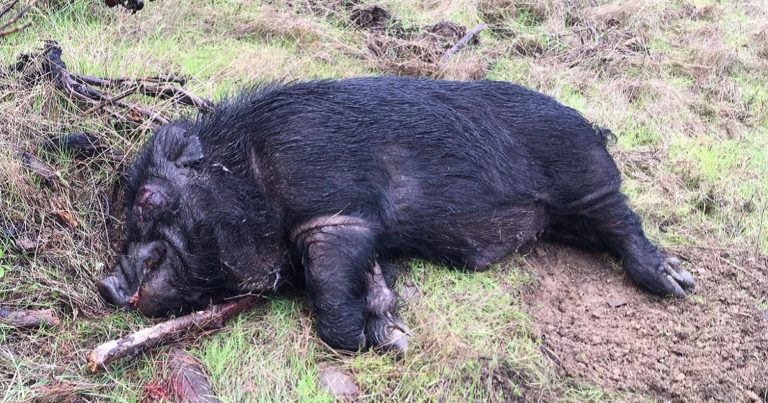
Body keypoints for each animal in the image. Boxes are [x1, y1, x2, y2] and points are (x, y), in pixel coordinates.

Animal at [97, 77, 695, 354]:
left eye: (148, 201)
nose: (106, 284)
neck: (250, 172)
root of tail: (592, 126)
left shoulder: (334, 215)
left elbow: (331, 303)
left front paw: (384, 342)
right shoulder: (364, 235)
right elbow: (371, 277)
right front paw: (394, 334)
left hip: (585, 177)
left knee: (624, 222)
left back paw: (678, 283)